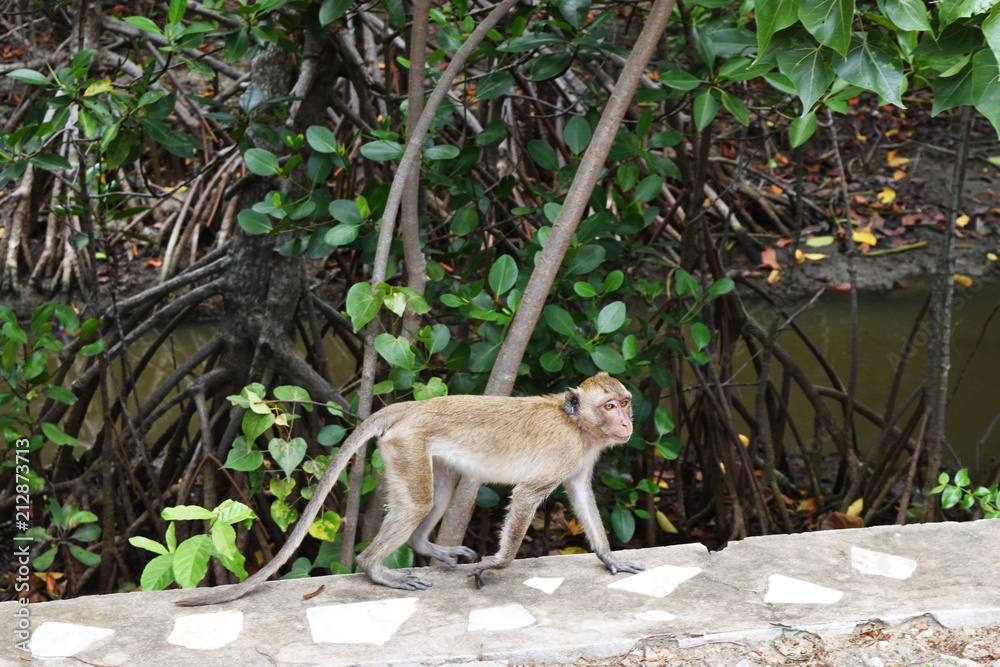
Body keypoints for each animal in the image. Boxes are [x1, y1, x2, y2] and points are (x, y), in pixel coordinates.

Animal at [176, 372, 643, 606]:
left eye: (624, 402)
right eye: (609, 406)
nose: (626, 422)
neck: (578, 426)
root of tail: (413, 407)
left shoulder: (580, 459)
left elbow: (580, 494)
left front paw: (608, 557)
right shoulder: (563, 453)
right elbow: (527, 496)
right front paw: (496, 565)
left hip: (415, 451)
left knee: (437, 492)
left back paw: (426, 547)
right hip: (405, 445)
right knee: (418, 502)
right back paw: (376, 569)